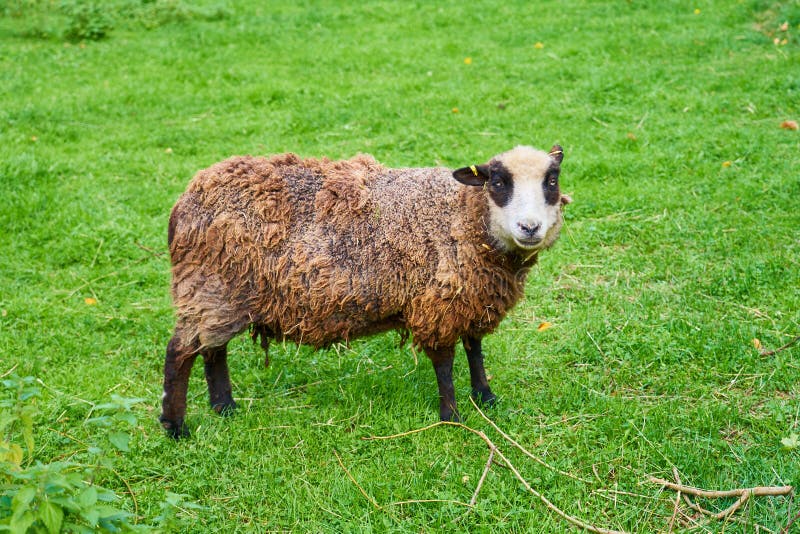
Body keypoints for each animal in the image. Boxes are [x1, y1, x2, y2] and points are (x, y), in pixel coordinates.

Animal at [160, 145, 570, 438]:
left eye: (551, 181)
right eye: (498, 182)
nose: (529, 227)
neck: (460, 216)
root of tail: (186, 199)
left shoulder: (471, 298)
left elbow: (474, 348)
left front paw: (486, 397)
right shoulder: (435, 304)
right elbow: (444, 363)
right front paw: (451, 416)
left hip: (221, 295)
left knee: (213, 349)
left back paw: (224, 406)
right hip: (209, 287)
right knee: (180, 352)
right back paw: (176, 426)